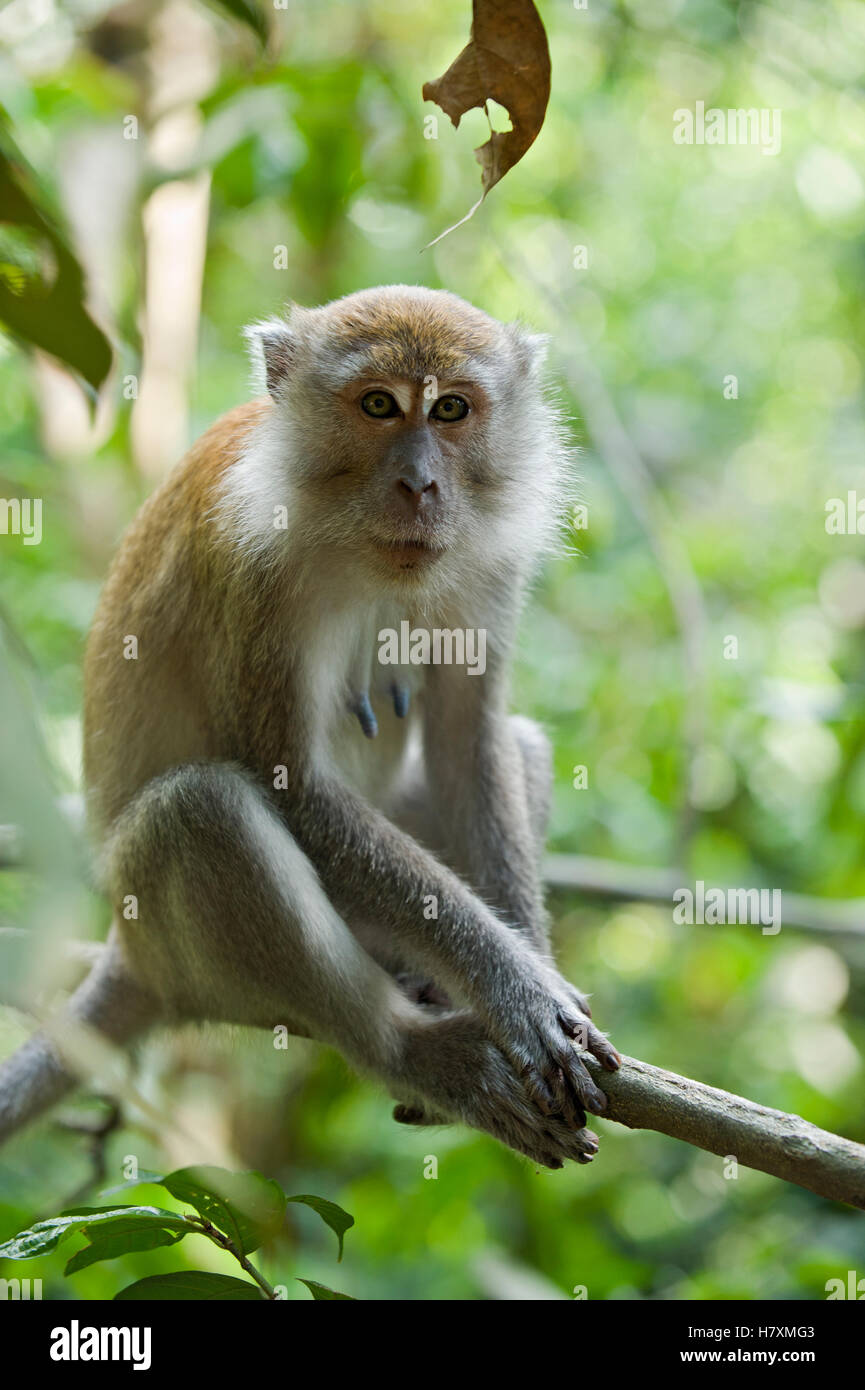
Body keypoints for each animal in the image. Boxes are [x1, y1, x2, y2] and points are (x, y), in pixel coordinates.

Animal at [0, 285, 620, 1169]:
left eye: (452, 409)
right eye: (378, 405)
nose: (420, 484)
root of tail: (127, 960)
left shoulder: (492, 564)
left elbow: (469, 739)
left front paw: (529, 966)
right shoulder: (250, 562)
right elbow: (288, 785)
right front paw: (514, 989)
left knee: (517, 743)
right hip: (167, 945)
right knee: (200, 811)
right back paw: (420, 1054)